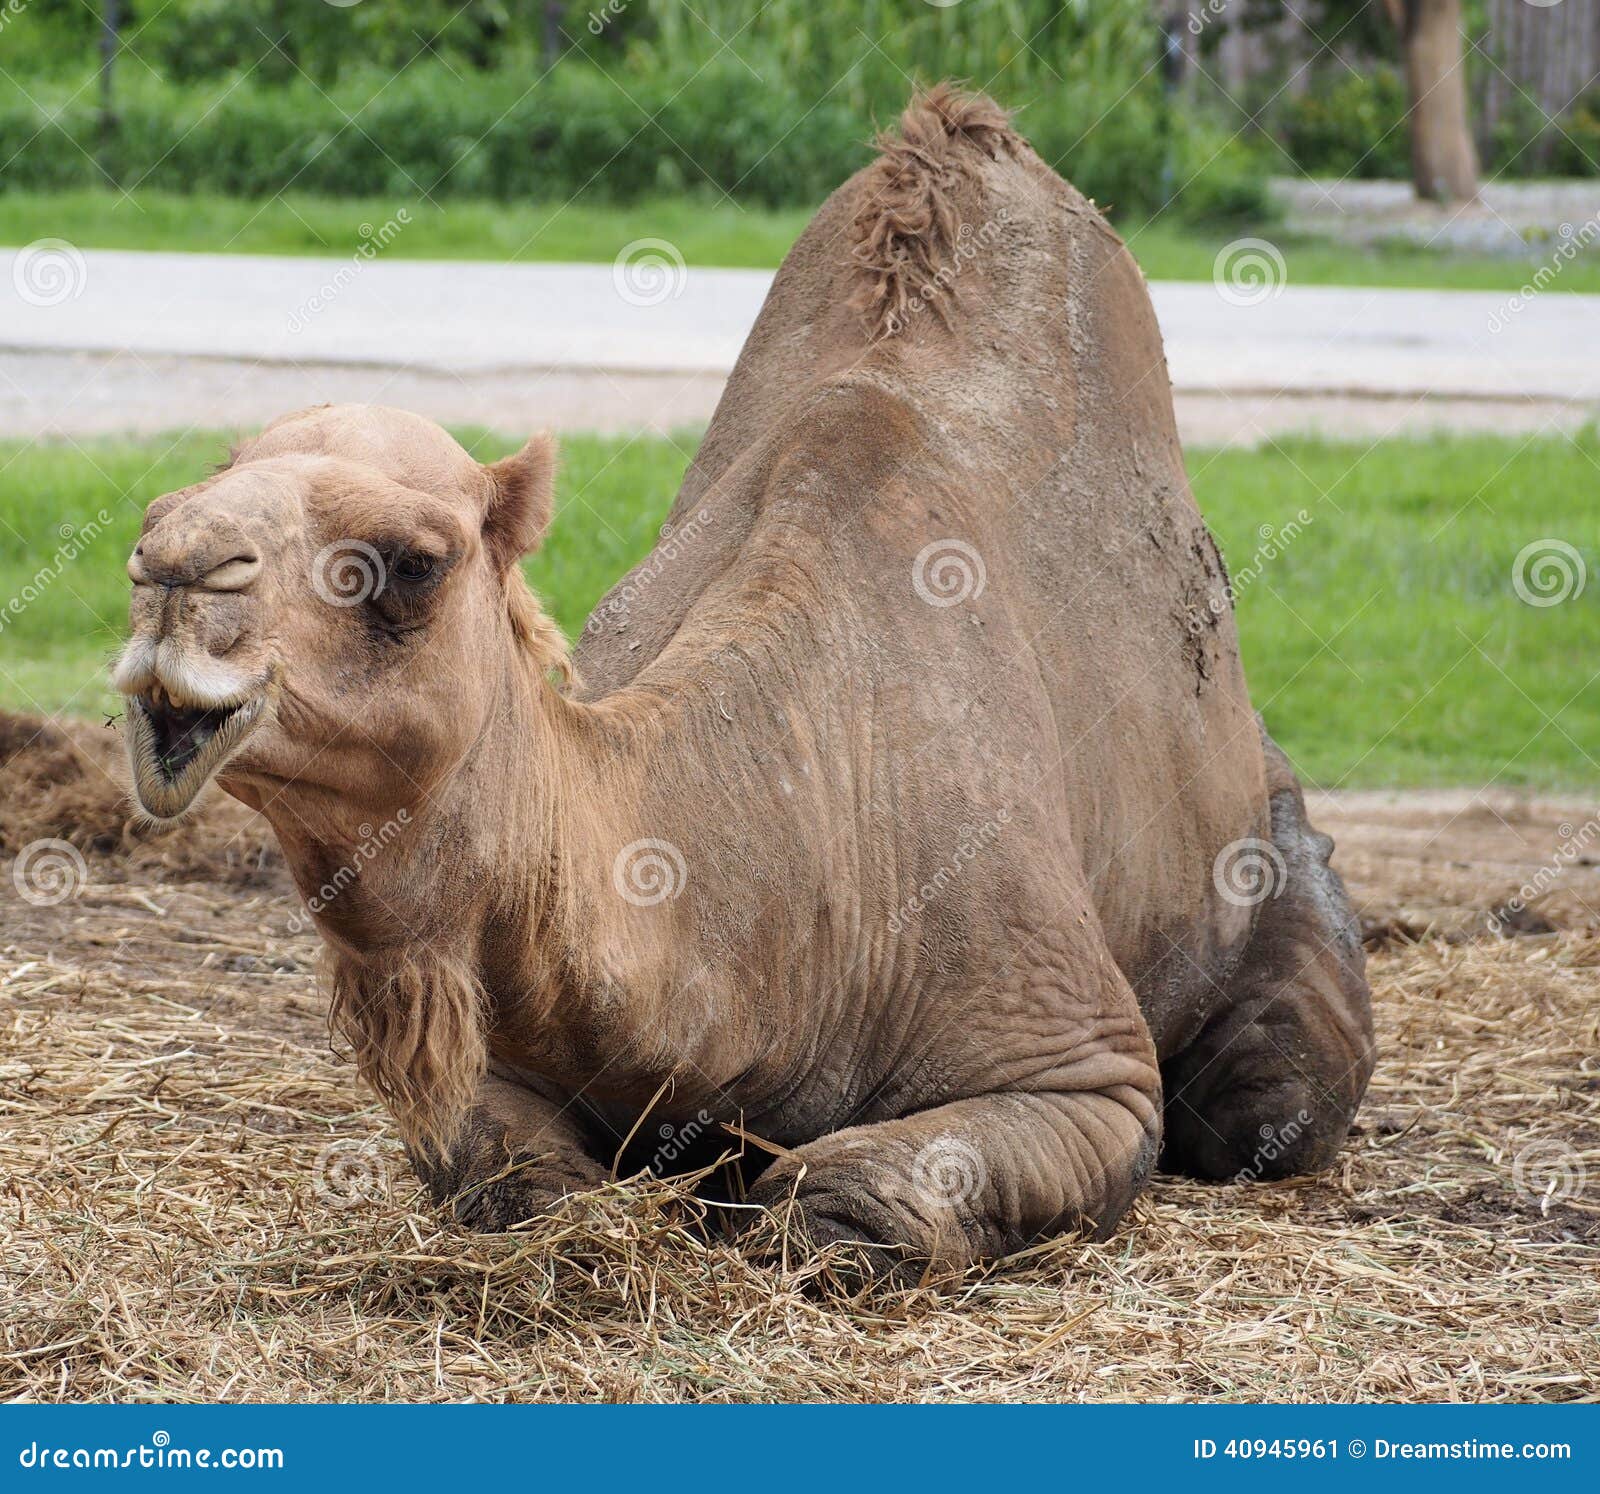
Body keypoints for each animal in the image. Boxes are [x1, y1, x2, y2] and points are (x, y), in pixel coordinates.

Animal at [112, 87, 1369, 1279]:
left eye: (410, 562)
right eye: (159, 512)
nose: (170, 565)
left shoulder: (1082, 1068)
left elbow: (832, 1205)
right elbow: (511, 1179)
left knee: (1273, 1096)